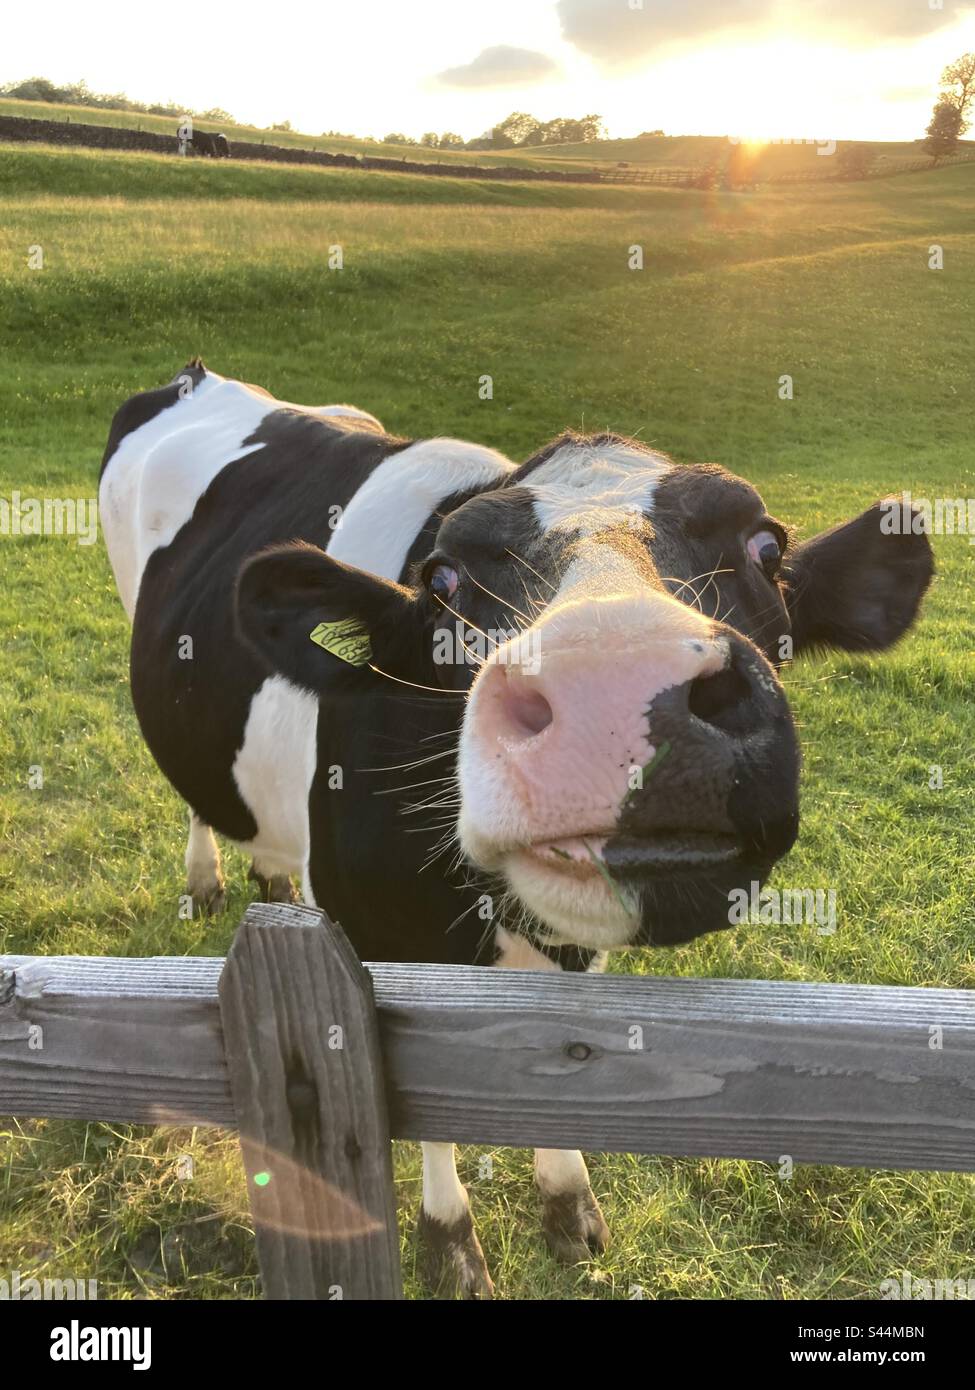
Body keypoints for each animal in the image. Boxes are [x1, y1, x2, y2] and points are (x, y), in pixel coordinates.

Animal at [99, 361, 933, 1297]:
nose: (615, 686)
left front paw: (568, 1205)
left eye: (764, 548)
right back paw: (205, 876)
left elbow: (563, 1044)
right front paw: (450, 1242)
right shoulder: (376, 944)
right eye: (443, 583)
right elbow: (422, 1110)